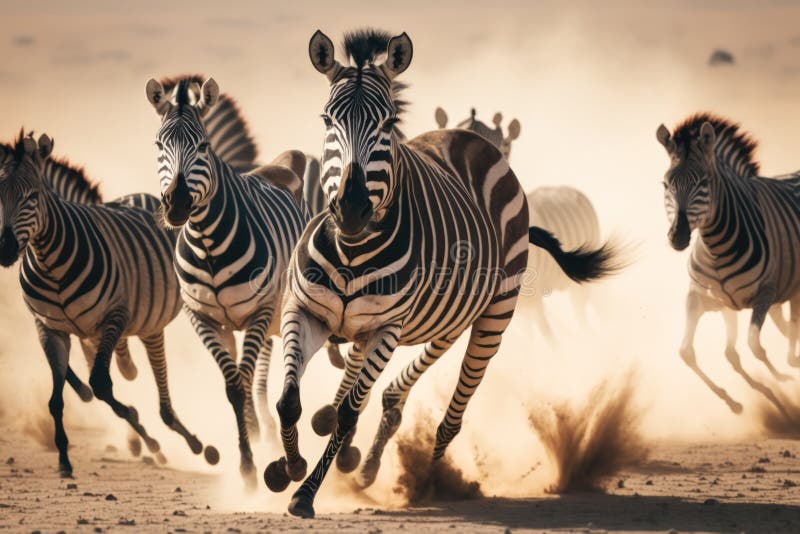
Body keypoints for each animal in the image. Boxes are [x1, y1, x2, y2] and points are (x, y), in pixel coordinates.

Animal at [0, 131, 213, 477]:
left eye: (32, 196)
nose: (5, 250)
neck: (51, 263)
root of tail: (141, 196)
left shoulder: (112, 319)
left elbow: (100, 384)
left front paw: (149, 439)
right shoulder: (50, 328)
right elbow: (59, 398)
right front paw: (64, 459)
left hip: (150, 321)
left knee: (159, 384)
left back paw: (194, 442)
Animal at [145, 76, 308, 487]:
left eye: (203, 146)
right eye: (158, 145)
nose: (177, 203)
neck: (208, 244)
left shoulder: (258, 312)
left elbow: (239, 383)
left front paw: (250, 466)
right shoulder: (202, 318)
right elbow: (233, 386)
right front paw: (247, 461)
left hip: (269, 312)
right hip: (232, 325)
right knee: (247, 376)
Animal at [262, 28, 622, 518]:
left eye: (388, 123)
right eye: (327, 119)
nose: (352, 209)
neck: (354, 251)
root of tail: (472, 142)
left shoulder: (388, 329)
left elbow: (351, 412)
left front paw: (305, 492)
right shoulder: (307, 313)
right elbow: (288, 401)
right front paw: (287, 467)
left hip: (491, 316)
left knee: (447, 410)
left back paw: (430, 482)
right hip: (443, 316)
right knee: (380, 389)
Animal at [657, 113, 800, 416]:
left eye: (703, 182)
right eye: (665, 184)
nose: (678, 237)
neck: (716, 248)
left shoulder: (765, 294)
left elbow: (754, 346)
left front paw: (781, 380)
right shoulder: (709, 300)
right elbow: (697, 353)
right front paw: (736, 401)